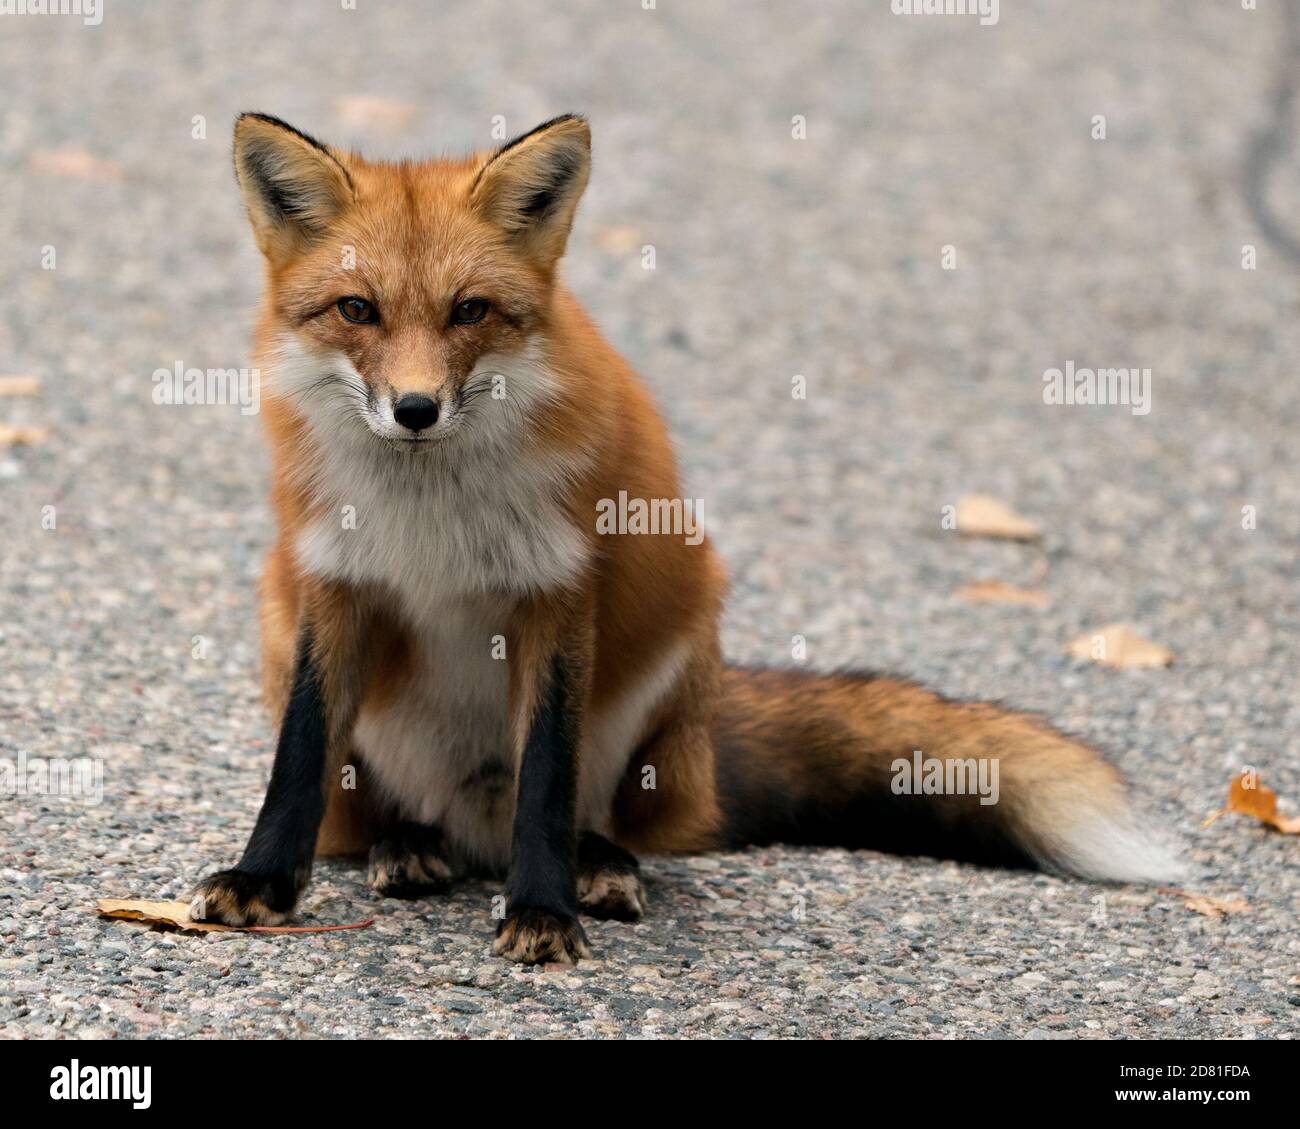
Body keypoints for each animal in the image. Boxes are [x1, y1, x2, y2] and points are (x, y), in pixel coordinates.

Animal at [191, 112, 1183, 964]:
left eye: (470, 311)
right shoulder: (333, 582)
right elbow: (299, 758)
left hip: (675, 653)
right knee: (379, 814)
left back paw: (597, 867)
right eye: (356, 310)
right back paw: (406, 843)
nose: (415, 409)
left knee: (596, 820)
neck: (430, 511)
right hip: (281, 623)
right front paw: (264, 882)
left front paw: (543, 910)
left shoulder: (557, 595)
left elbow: (546, 780)